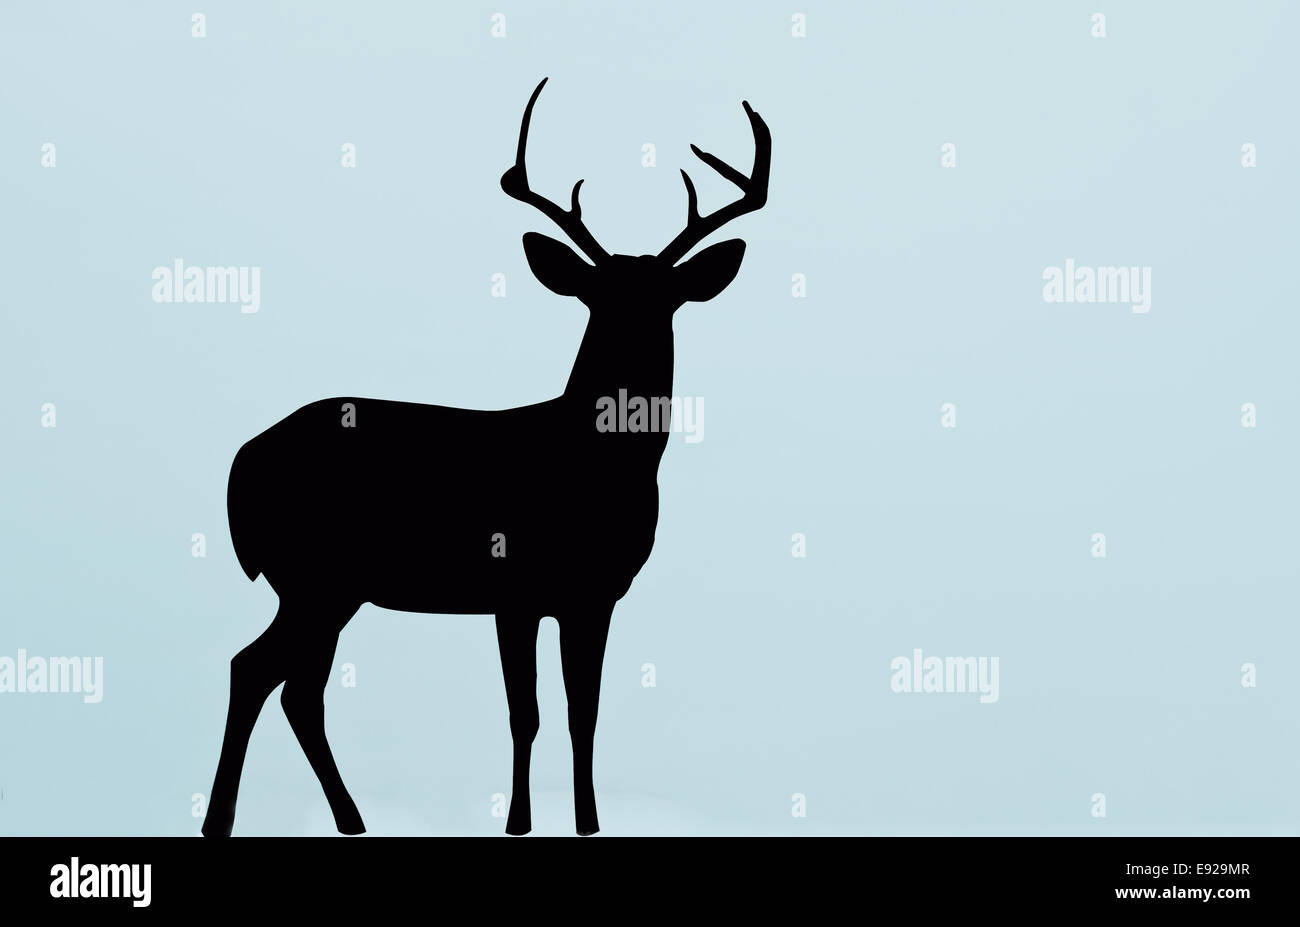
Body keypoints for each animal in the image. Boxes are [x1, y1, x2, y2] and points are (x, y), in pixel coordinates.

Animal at [201, 77, 770, 837]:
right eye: (598, 297)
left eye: (666, 298)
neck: (593, 466)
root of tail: (242, 460)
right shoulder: (517, 586)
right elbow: (526, 712)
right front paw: (519, 822)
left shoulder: (595, 594)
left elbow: (583, 712)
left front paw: (586, 823)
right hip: (315, 573)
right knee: (254, 670)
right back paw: (224, 820)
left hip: (331, 586)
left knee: (297, 687)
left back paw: (351, 819)